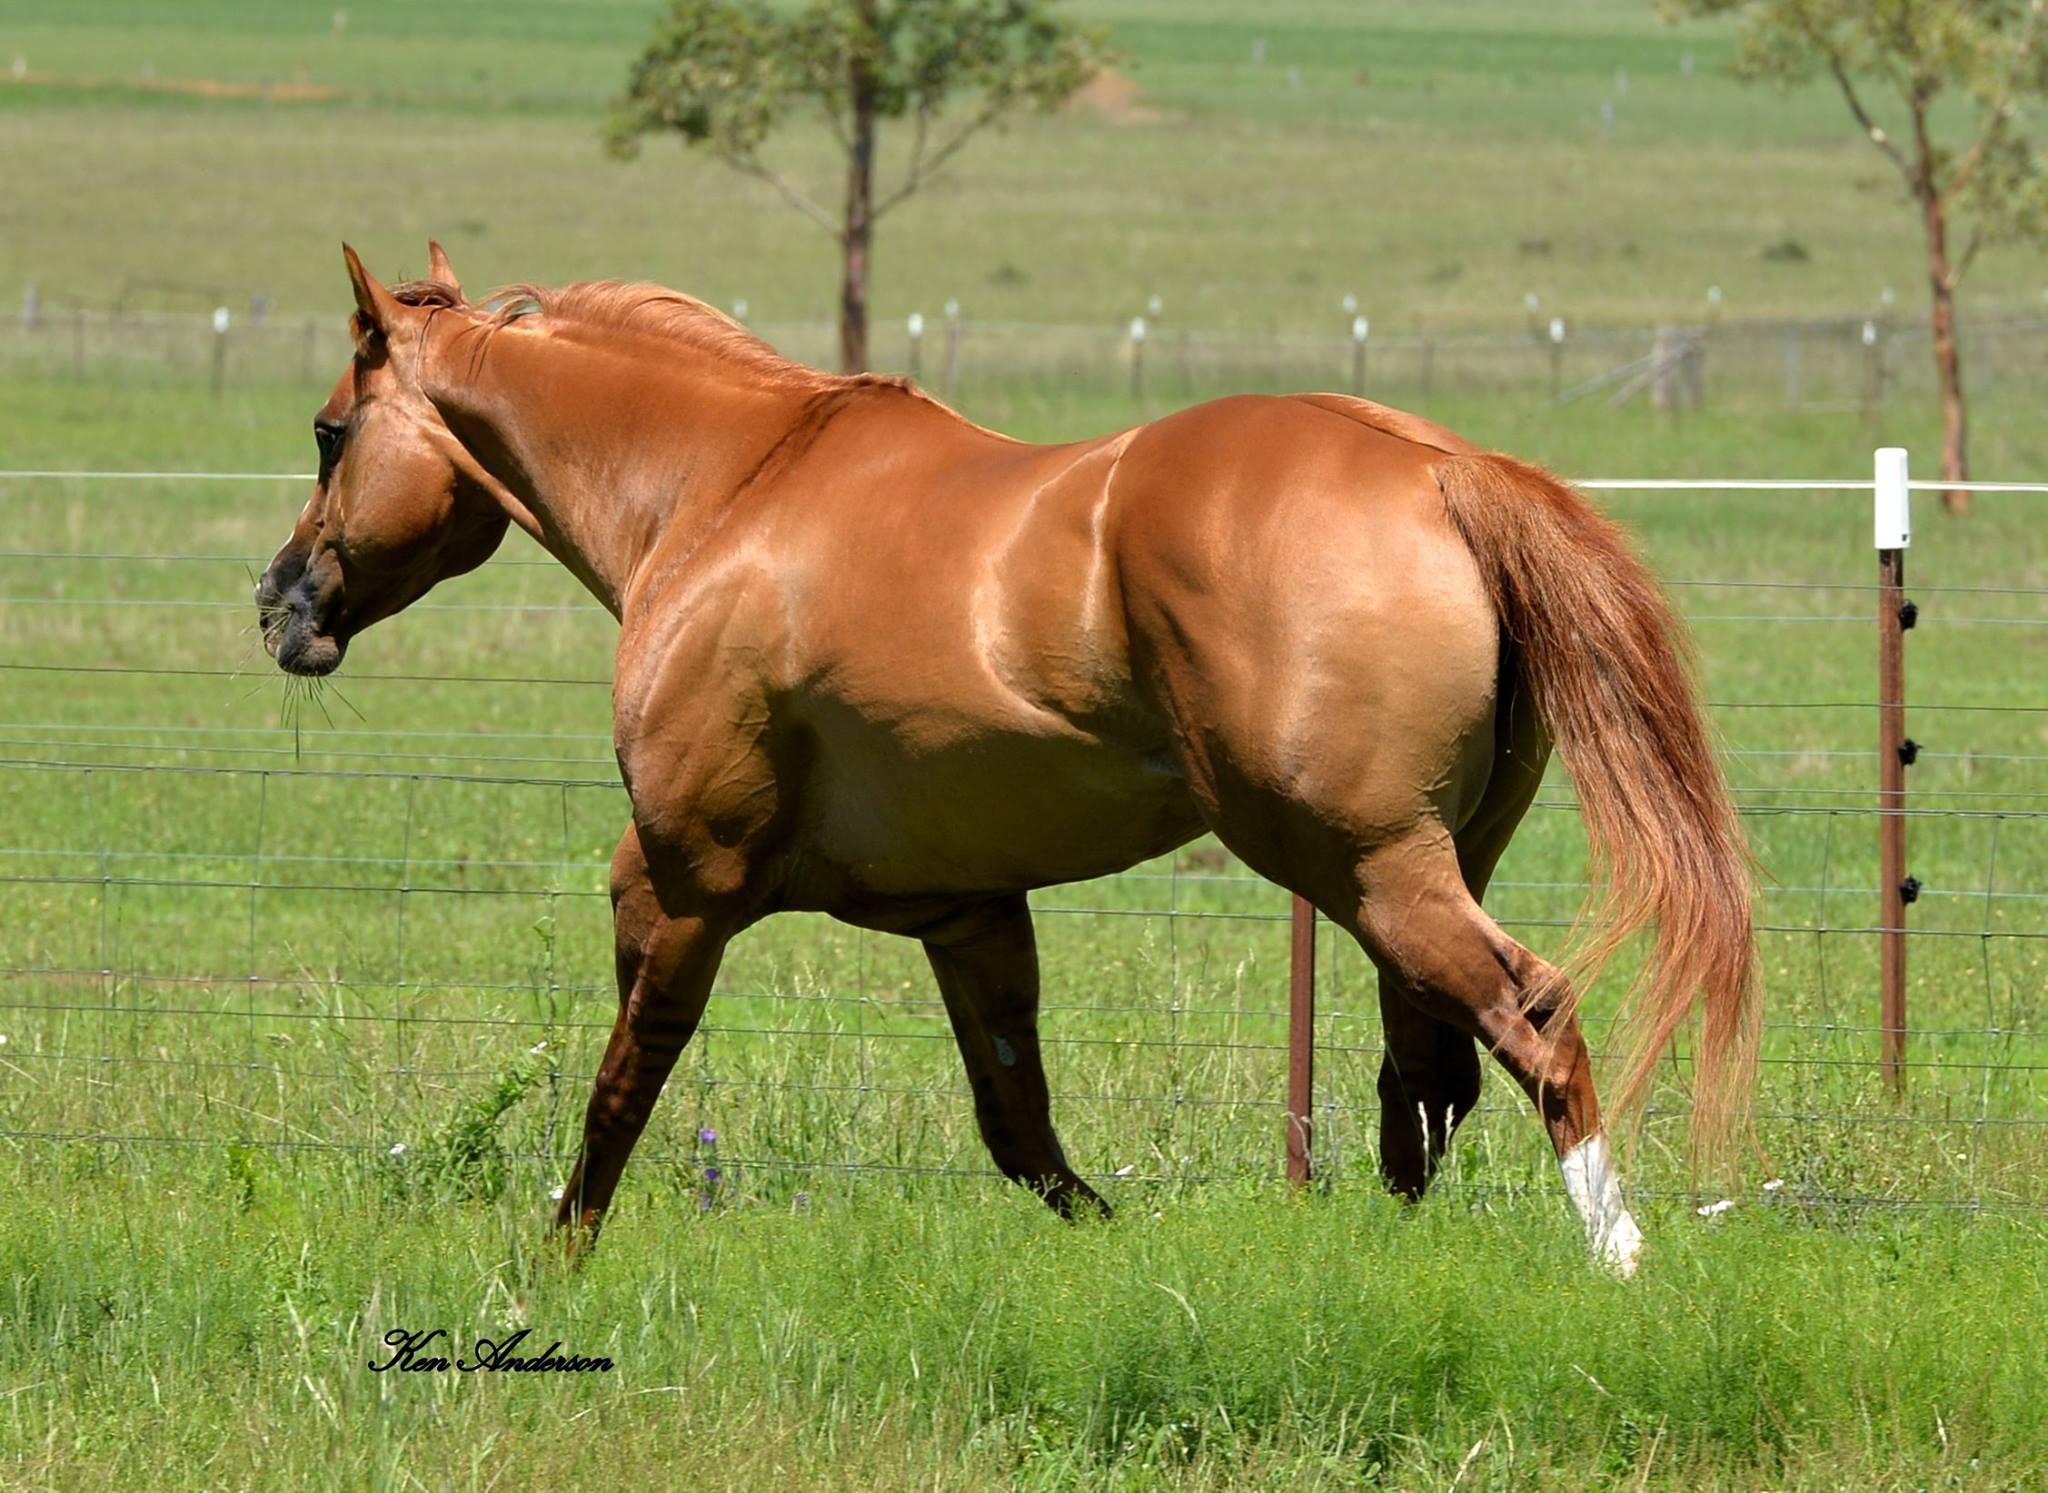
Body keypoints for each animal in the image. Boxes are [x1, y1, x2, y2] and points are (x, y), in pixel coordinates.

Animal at [256, 244, 1757, 1274]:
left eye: (329, 430)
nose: (282, 606)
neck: (724, 490)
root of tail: (1435, 468)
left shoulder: (679, 881)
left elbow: (624, 1081)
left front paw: (556, 1267)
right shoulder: (967, 914)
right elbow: (1018, 1123)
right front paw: (1119, 1244)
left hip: (1367, 866)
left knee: (1530, 1019)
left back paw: (1618, 1257)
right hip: (1419, 869)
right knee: (1429, 1076)